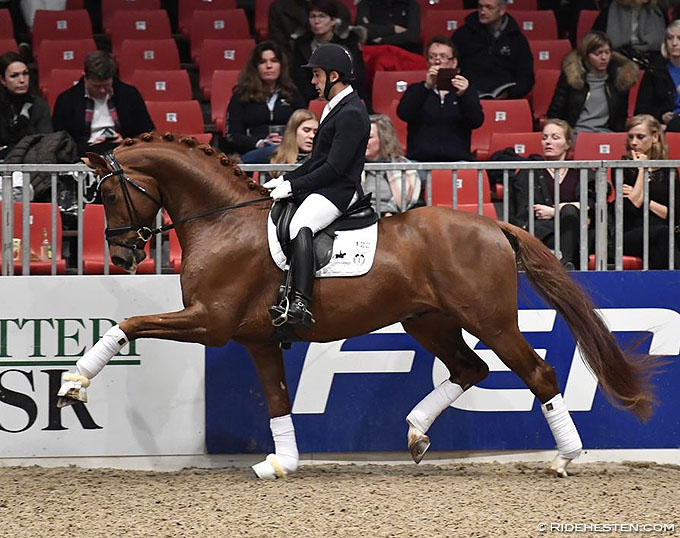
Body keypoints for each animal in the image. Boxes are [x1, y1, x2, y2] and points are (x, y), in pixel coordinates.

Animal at [58, 132, 661, 479]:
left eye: (107, 193)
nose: (121, 254)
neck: (222, 221)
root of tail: (493, 225)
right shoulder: (256, 339)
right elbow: (277, 401)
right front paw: (283, 462)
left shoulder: (211, 322)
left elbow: (130, 322)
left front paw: (74, 383)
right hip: (427, 322)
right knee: (470, 368)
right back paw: (416, 432)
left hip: (489, 320)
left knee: (537, 372)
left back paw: (565, 457)